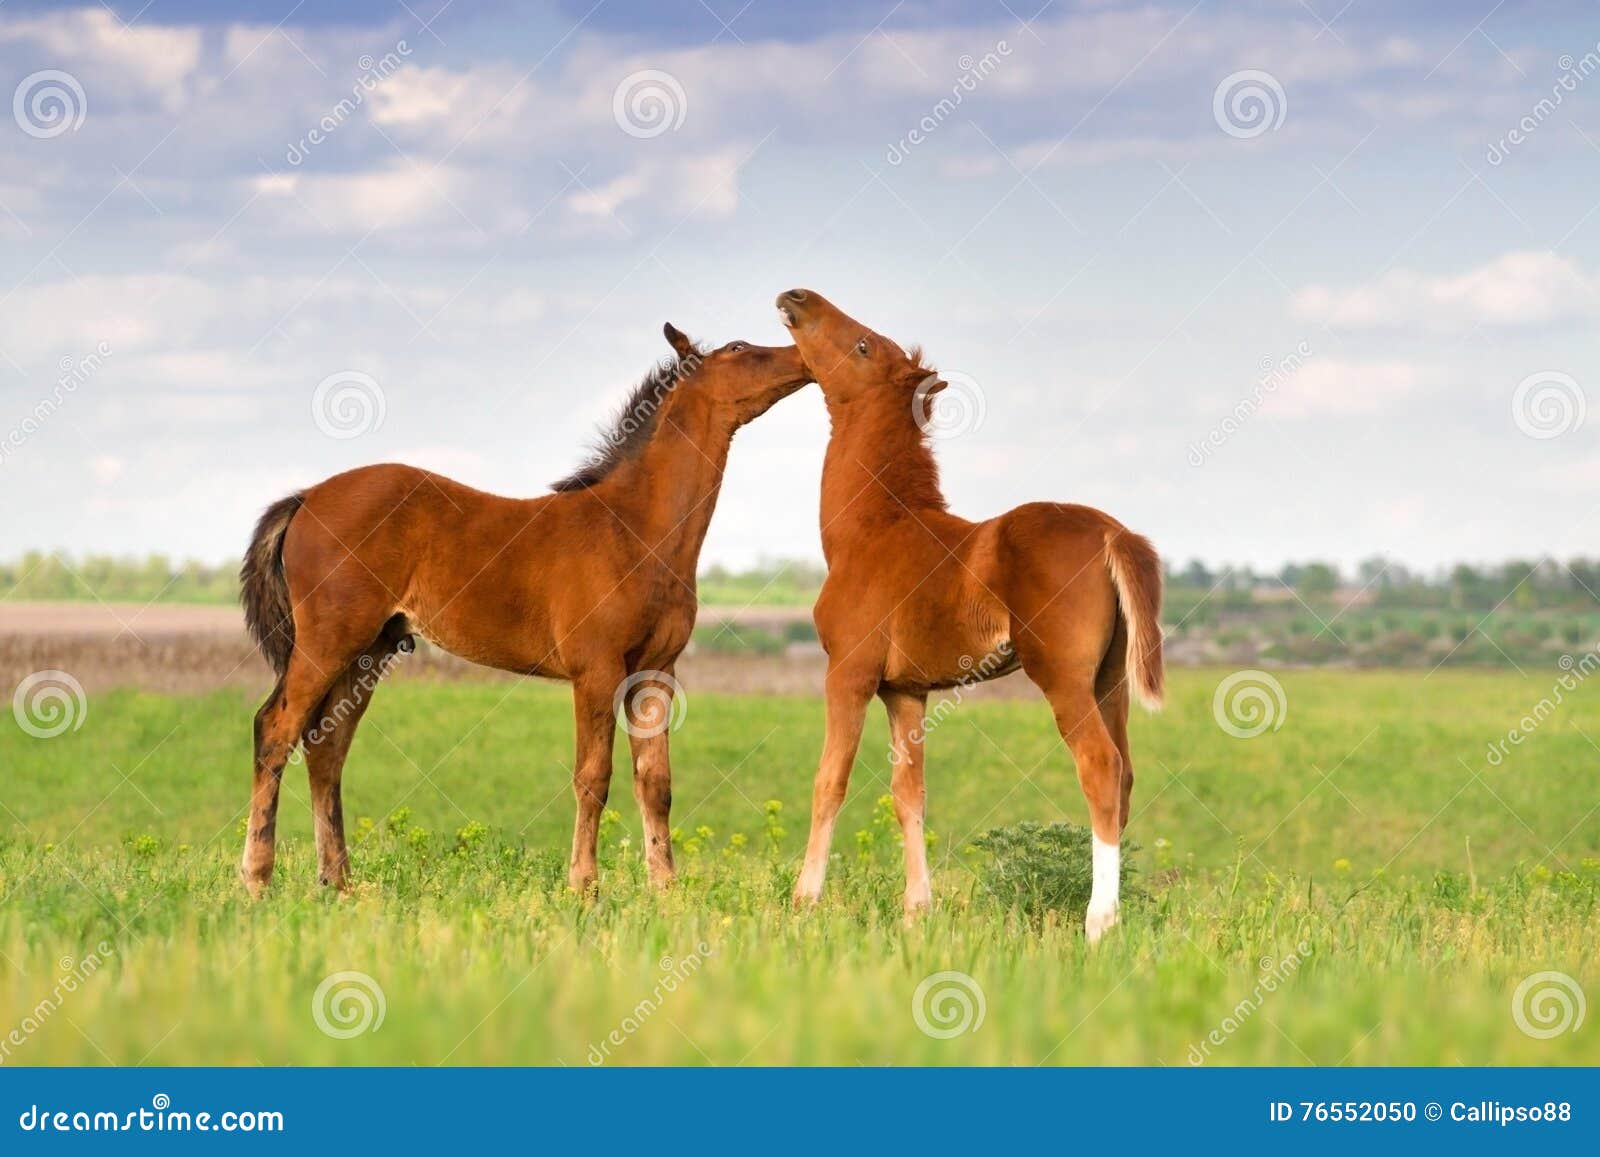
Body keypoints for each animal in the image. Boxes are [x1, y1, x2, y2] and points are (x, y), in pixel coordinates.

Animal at [237, 324, 810, 897]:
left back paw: (338, 883)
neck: (632, 530)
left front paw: (664, 889)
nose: (803, 355)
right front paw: (584, 887)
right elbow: (592, 777)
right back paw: (258, 880)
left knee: (325, 747)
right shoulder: (596, 670)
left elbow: (656, 782)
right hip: (329, 640)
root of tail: (306, 498)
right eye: (739, 349)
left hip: (370, 652)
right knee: (275, 730)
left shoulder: (656, 672)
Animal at [776, 289, 1164, 944]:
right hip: (1109, 680)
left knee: (1100, 766)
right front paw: (916, 910)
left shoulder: (849, 673)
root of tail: (1114, 533)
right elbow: (910, 792)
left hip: (1062, 679)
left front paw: (804, 903)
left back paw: (1098, 922)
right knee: (1128, 773)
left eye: (863, 345)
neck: (874, 529)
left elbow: (830, 781)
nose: (796, 298)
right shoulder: (905, 691)